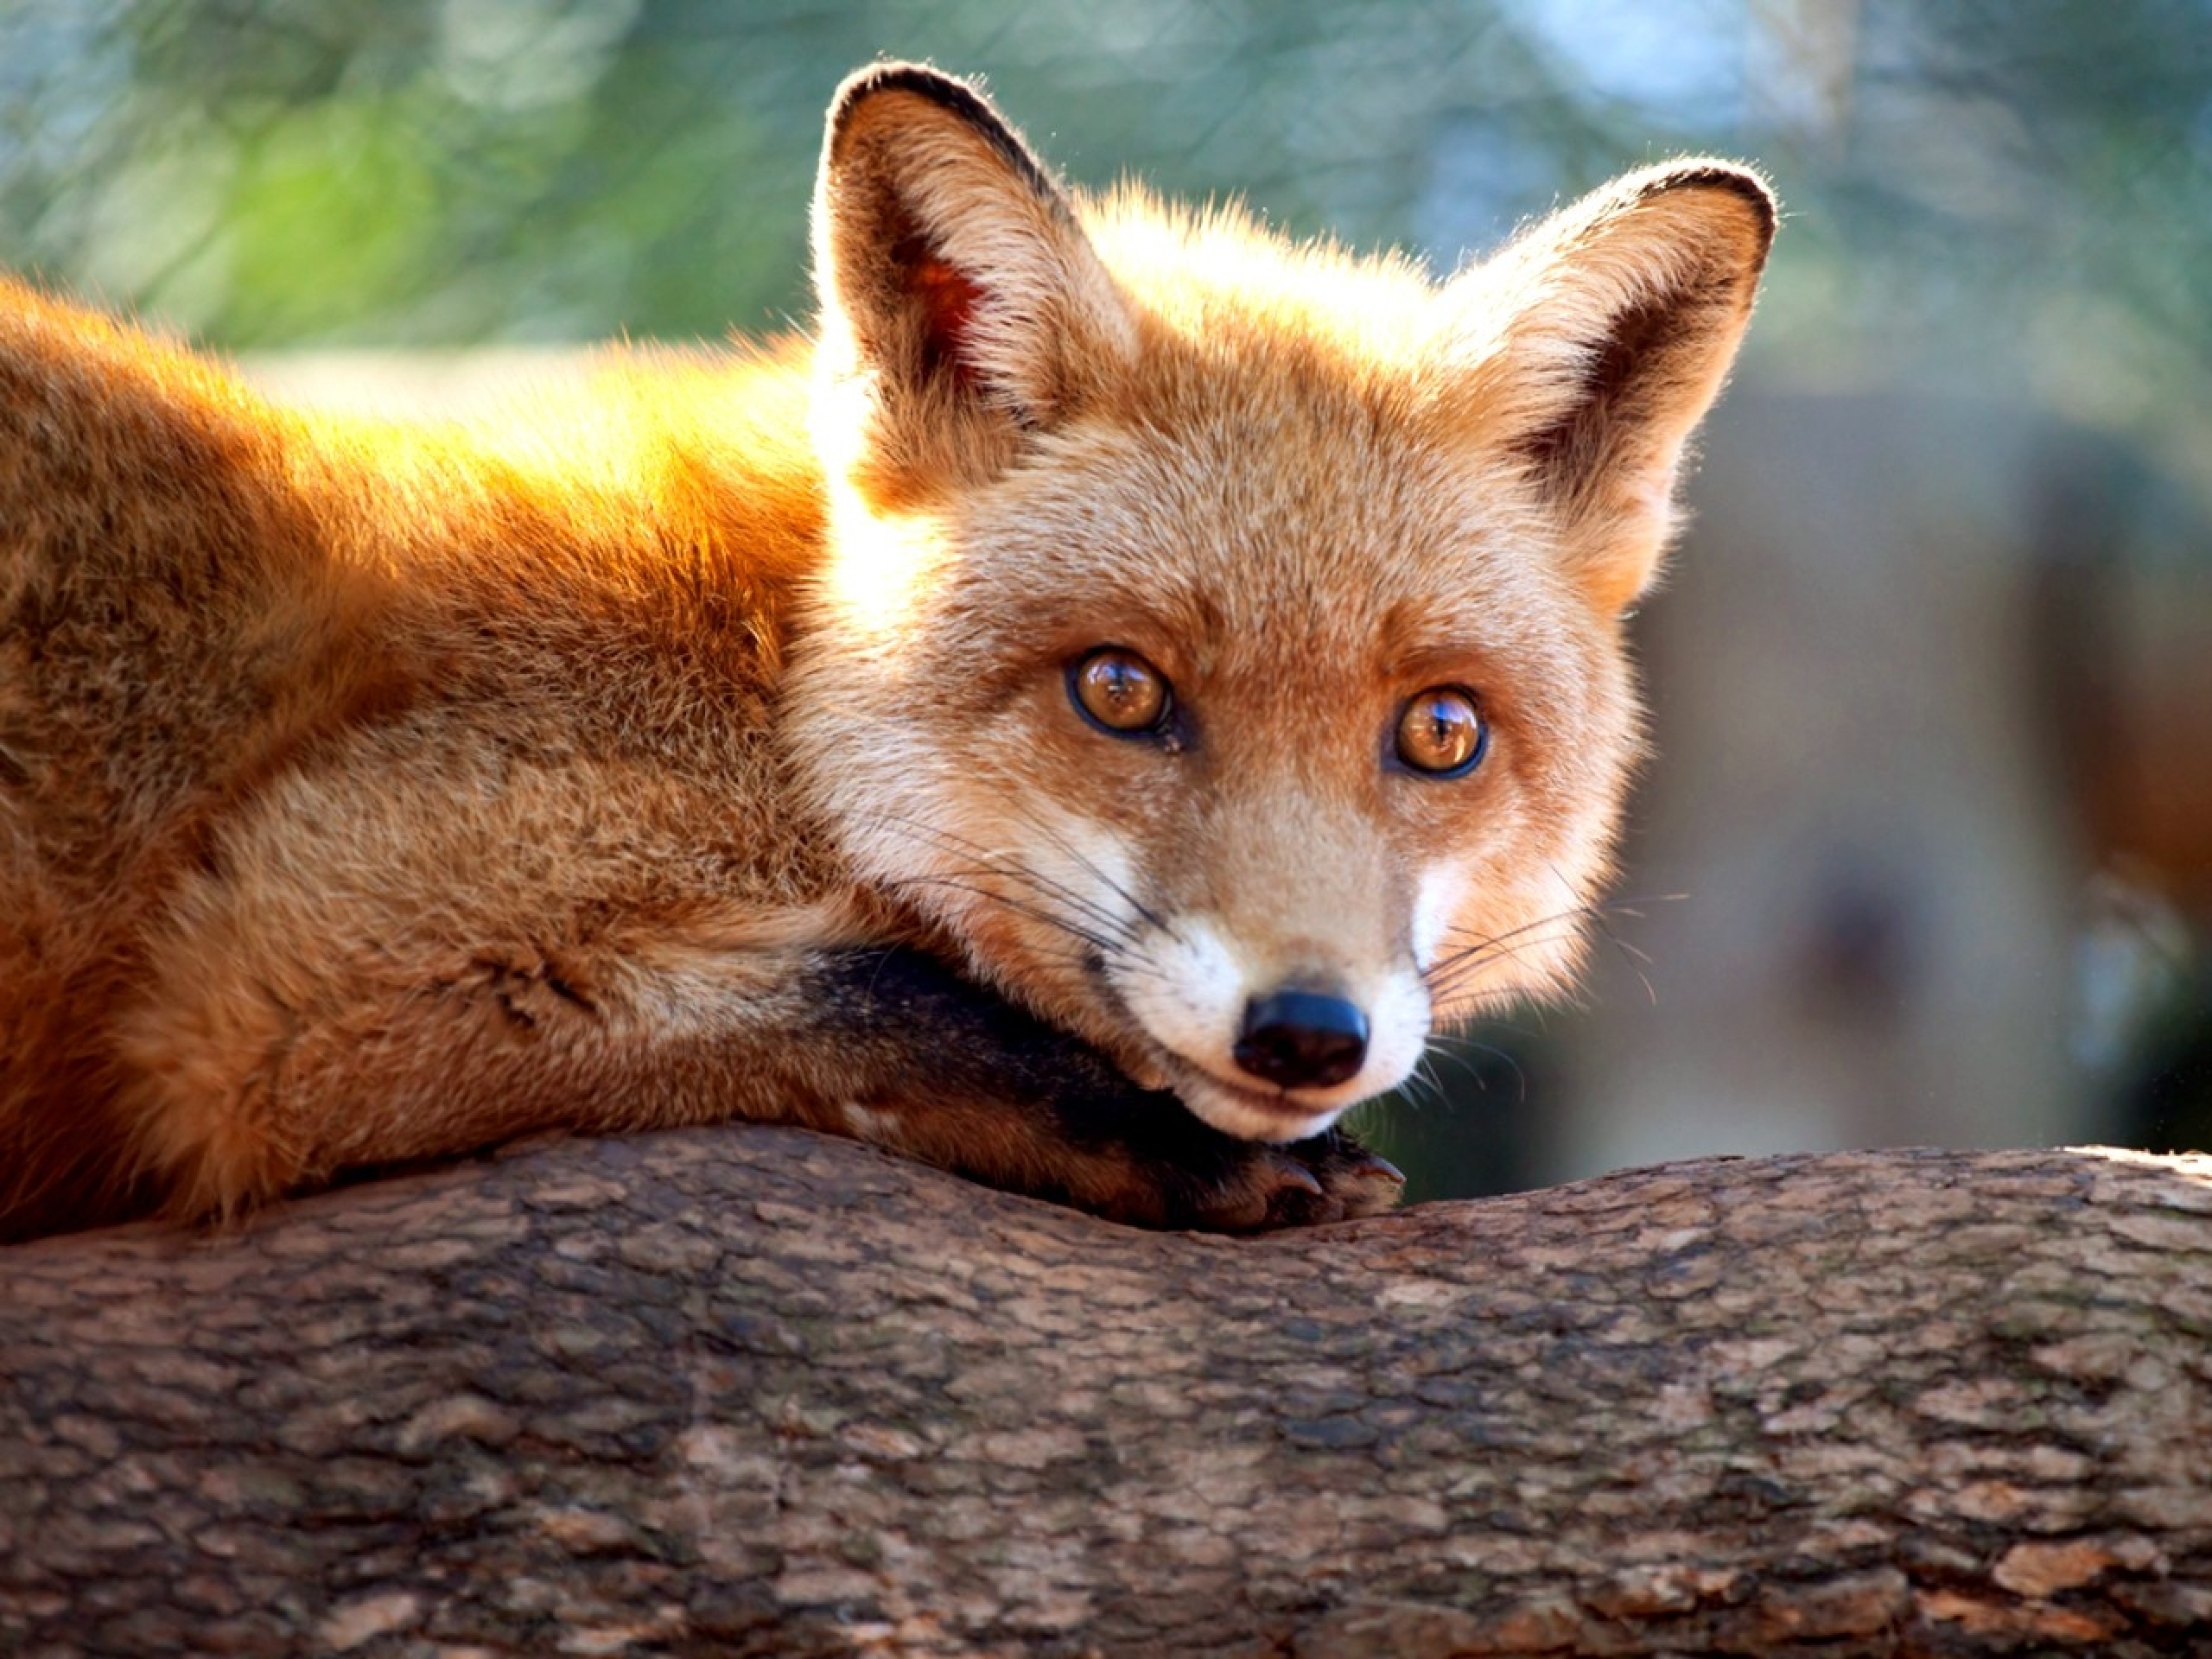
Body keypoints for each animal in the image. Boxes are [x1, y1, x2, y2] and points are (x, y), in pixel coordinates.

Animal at [0, 64, 1772, 1243]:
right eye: (1120, 692)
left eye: (1440, 733)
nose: (1307, 1036)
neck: (763, 676)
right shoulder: (296, 969)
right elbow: (885, 988)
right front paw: (1172, 1145)